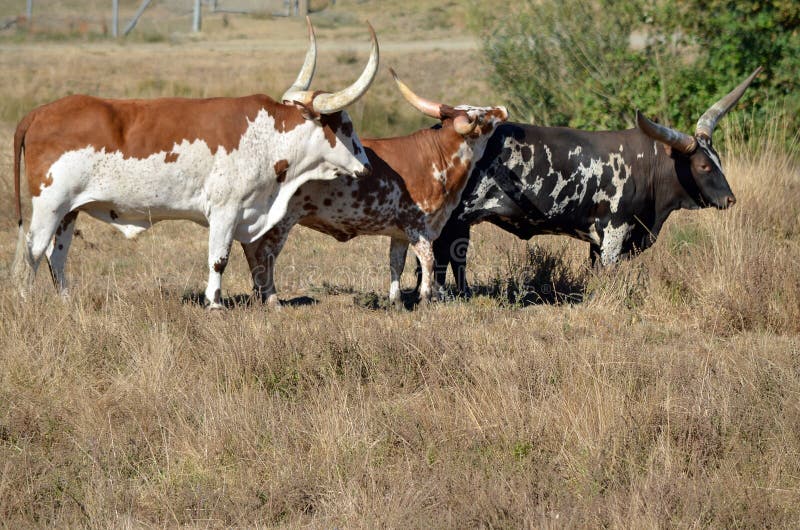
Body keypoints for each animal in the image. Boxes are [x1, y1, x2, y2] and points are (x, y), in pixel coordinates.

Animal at [11, 21, 379, 309]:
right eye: (346, 127)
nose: (366, 166)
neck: (268, 137)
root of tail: (40, 112)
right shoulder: (225, 209)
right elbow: (219, 259)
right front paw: (214, 303)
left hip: (68, 211)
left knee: (56, 255)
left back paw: (65, 302)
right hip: (50, 204)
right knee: (33, 251)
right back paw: (27, 304)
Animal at [237, 24, 508, 307]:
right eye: (479, 116)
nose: (501, 108)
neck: (439, 156)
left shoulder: (399, 232)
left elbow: (396, 263)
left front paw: (396, 301)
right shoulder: (418, 228)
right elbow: (428, 262)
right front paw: (425, 299)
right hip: (280, 222)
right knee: (264, 254)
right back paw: (272, 300)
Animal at [416, 67, 762, 297]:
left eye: (718, 158)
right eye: (703, 165)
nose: (730, 199)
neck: (648, 166)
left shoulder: (600, 239)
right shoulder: (614, 231)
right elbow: (609, 275)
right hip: (452, 219)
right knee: (443, 257)